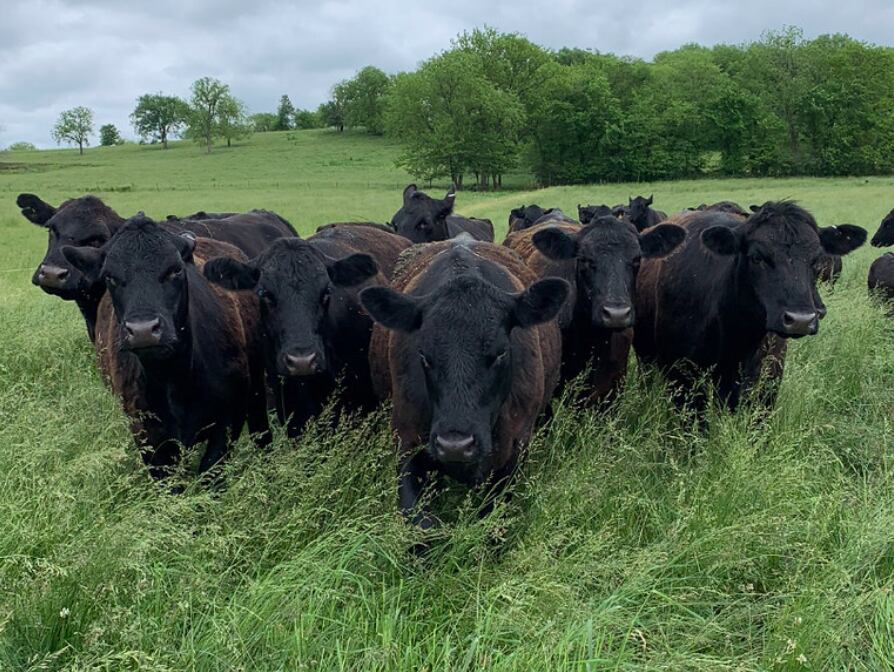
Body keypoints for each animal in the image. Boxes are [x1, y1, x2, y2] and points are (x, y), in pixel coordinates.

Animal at [61, 215, 269, 481]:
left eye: (175, 270)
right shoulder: (147, 433)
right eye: (110, 277)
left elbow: (210, 471)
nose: (142, 330)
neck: (175, 377)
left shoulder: (229, 418)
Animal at [360, 239, 568, 529]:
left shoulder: (512, 452)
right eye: (423, 355)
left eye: (501, 352)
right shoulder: (407, 442)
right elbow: (420, 524)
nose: (455, 445)